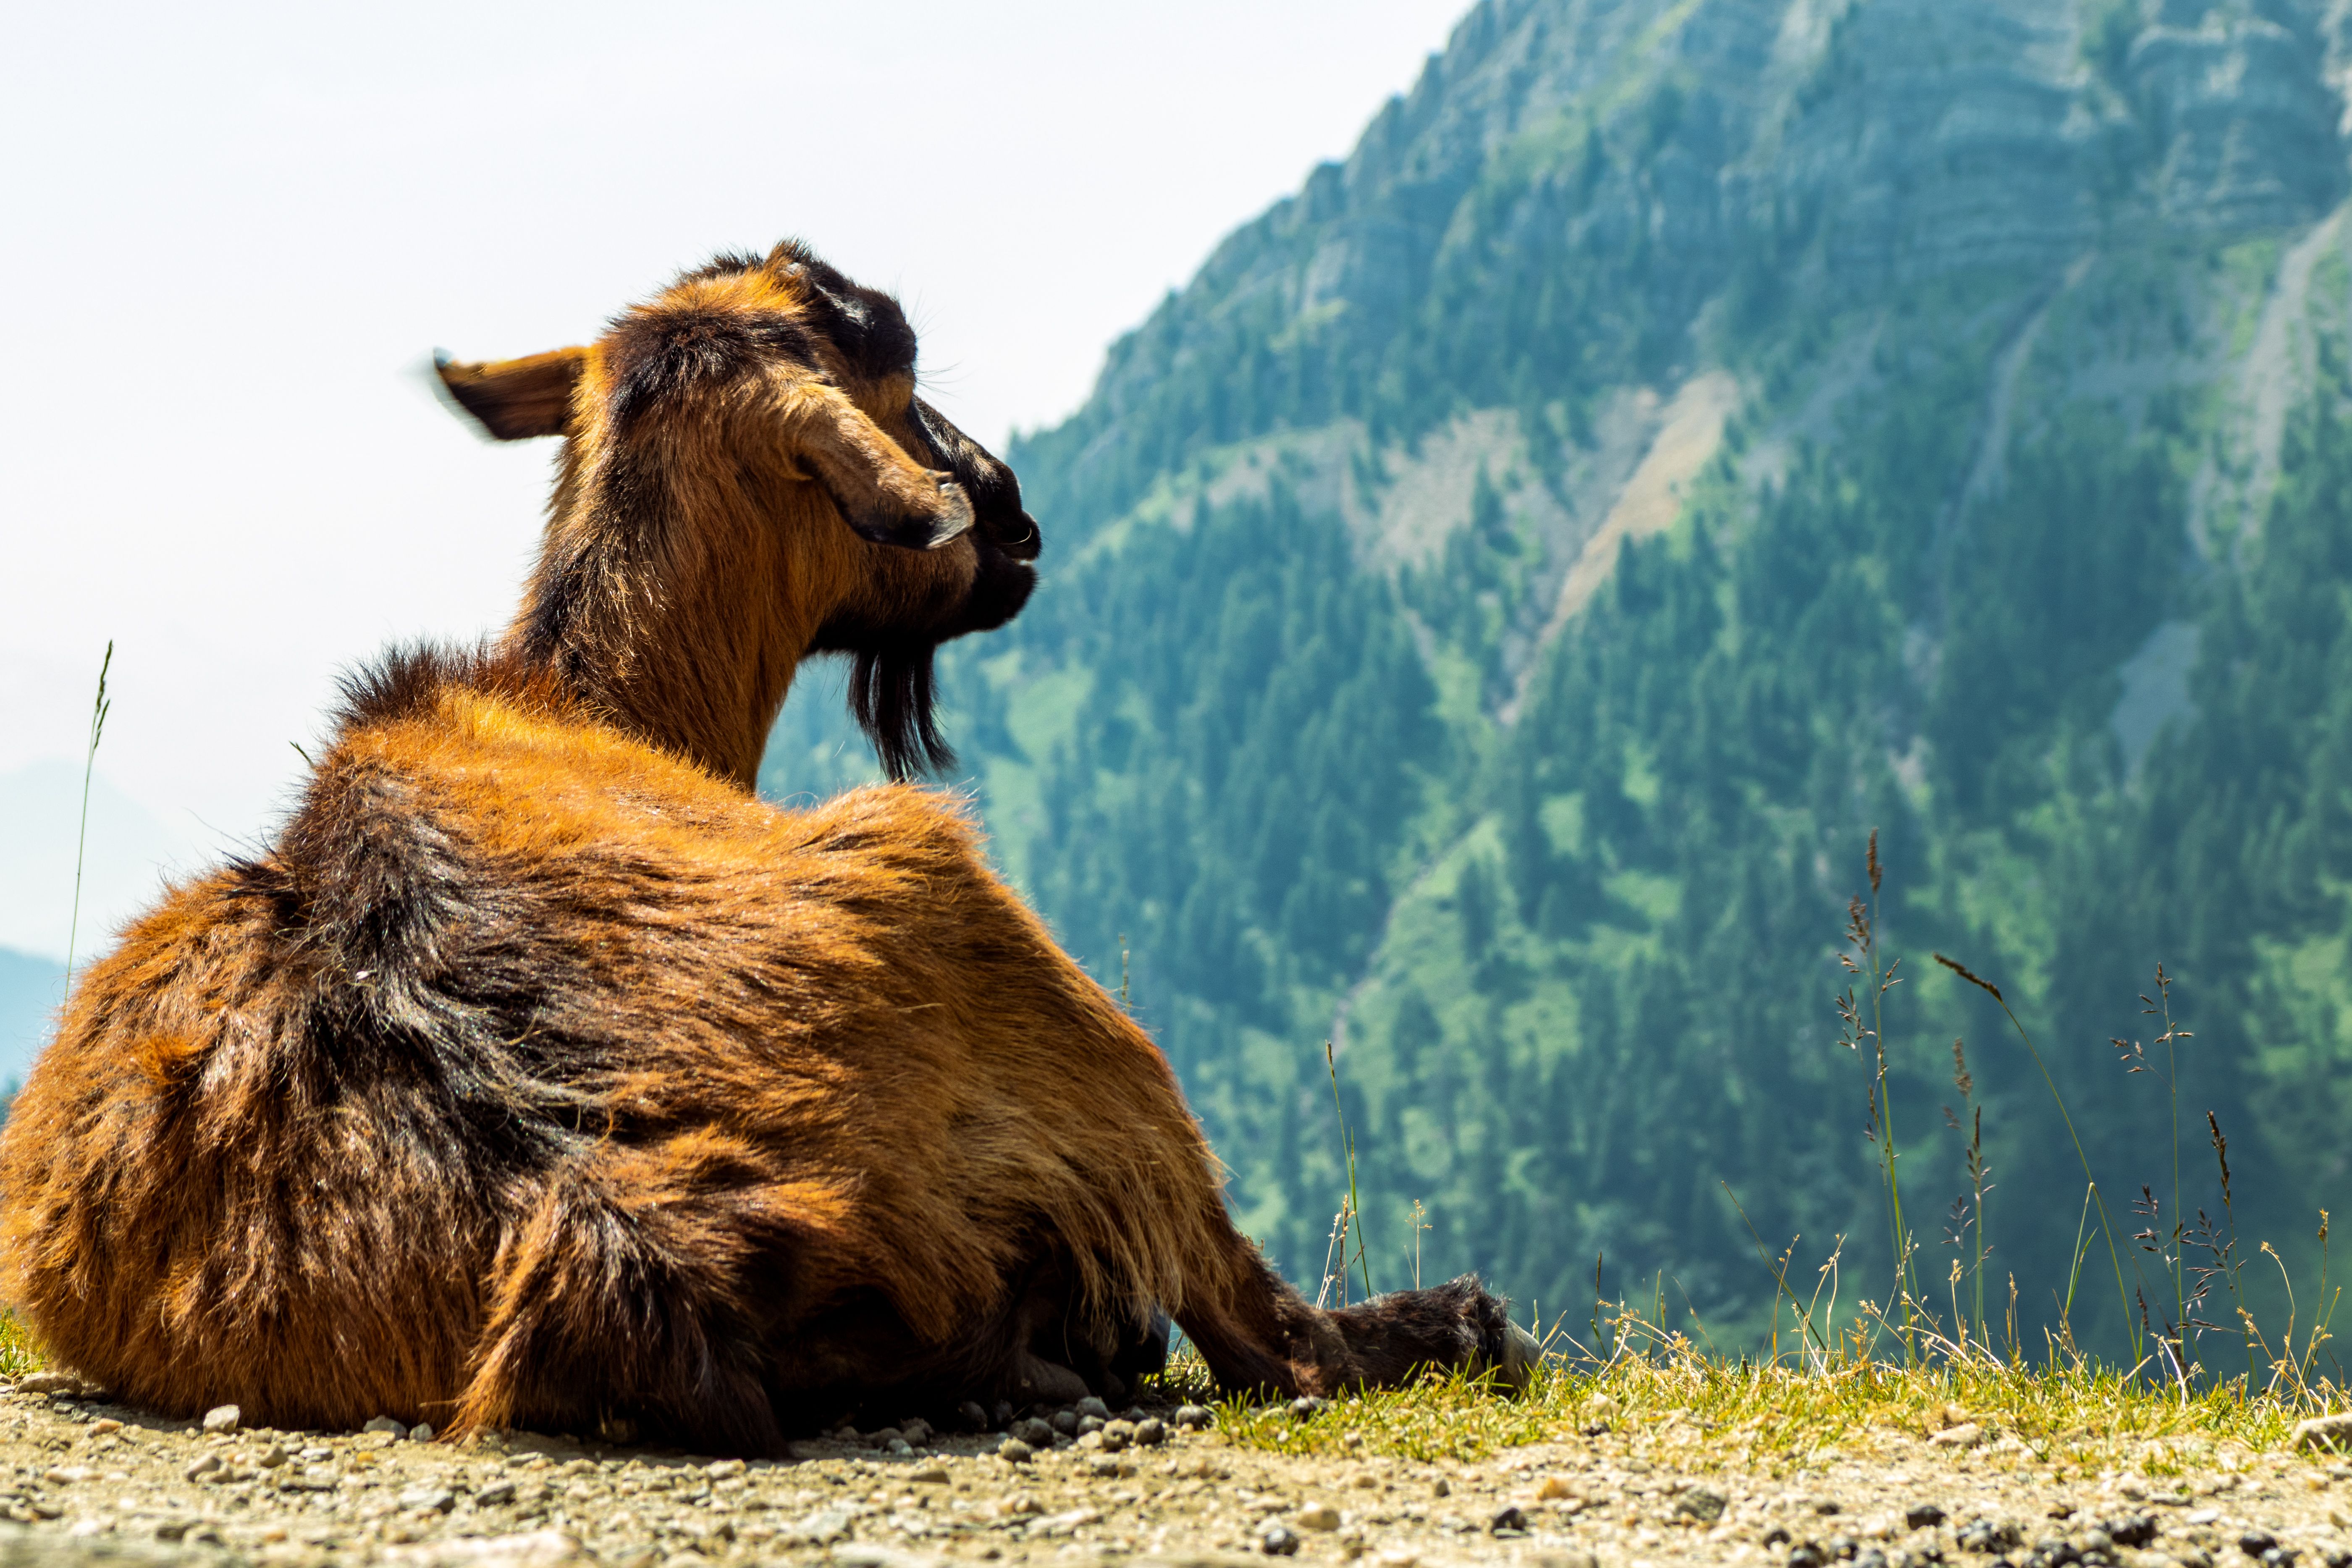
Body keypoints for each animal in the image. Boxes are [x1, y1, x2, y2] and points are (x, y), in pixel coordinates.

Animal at [0, 241, 1537, 1453]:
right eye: (896, 374)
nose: (1013, 511)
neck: (576, 702)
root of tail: (620, 1219)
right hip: (980, 914)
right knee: (1279, 1343)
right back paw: (1459, 1323)